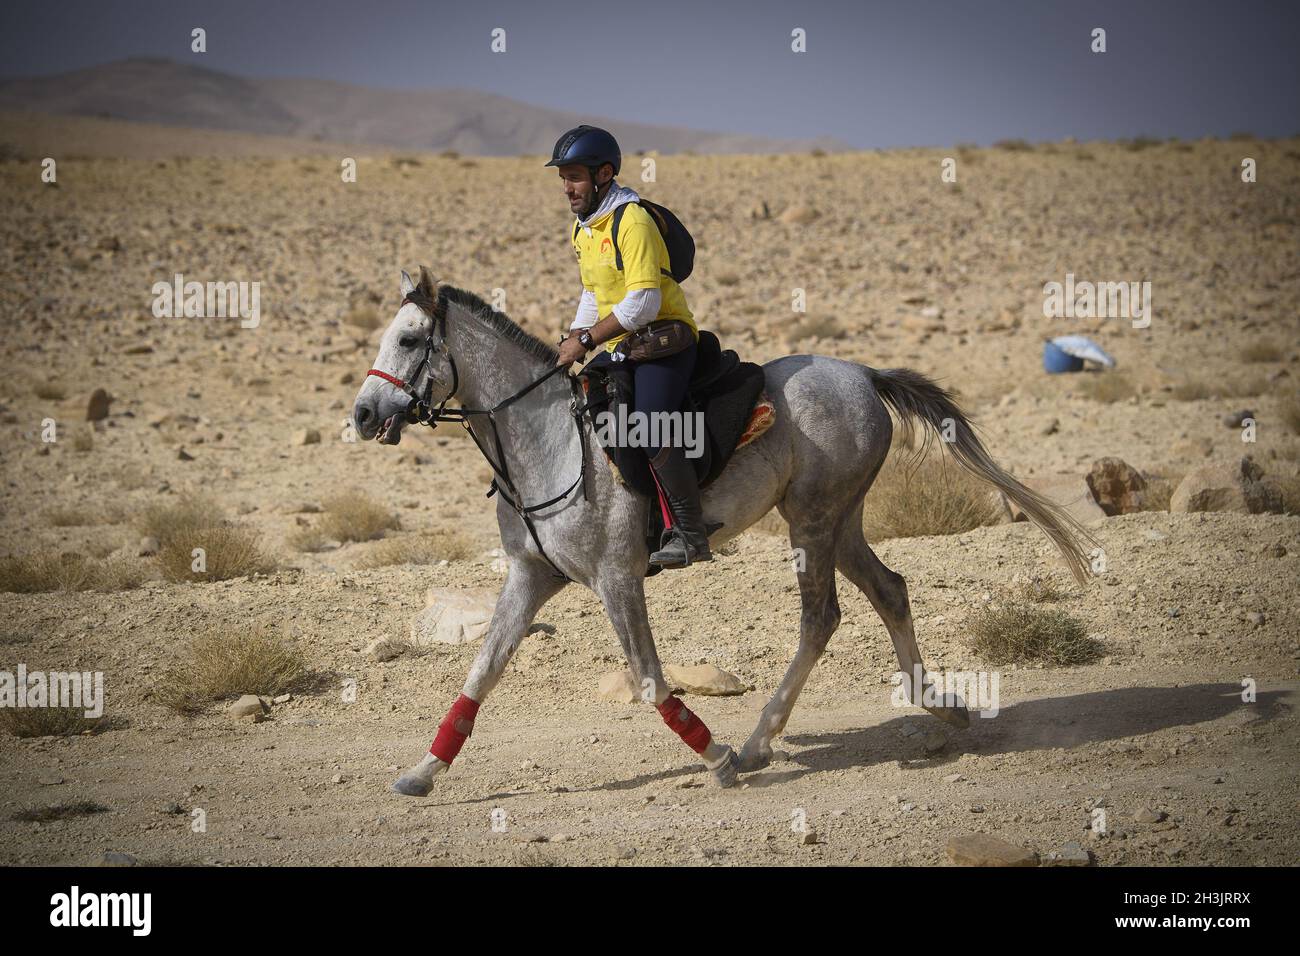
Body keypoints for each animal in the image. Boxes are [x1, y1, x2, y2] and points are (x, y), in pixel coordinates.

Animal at [351, 266, 1092, 794]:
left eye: (410, 340)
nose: (362, 415)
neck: (550, 441)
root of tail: (861, 374)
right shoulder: (532, 577)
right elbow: (481, 671)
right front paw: (421, 773)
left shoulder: (617, 581)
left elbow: (652, 682)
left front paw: (719, 756)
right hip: (839, 520)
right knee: (890, 591)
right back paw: (940, 709)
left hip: (813, 522)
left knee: (821, 618)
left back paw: (762, 742)